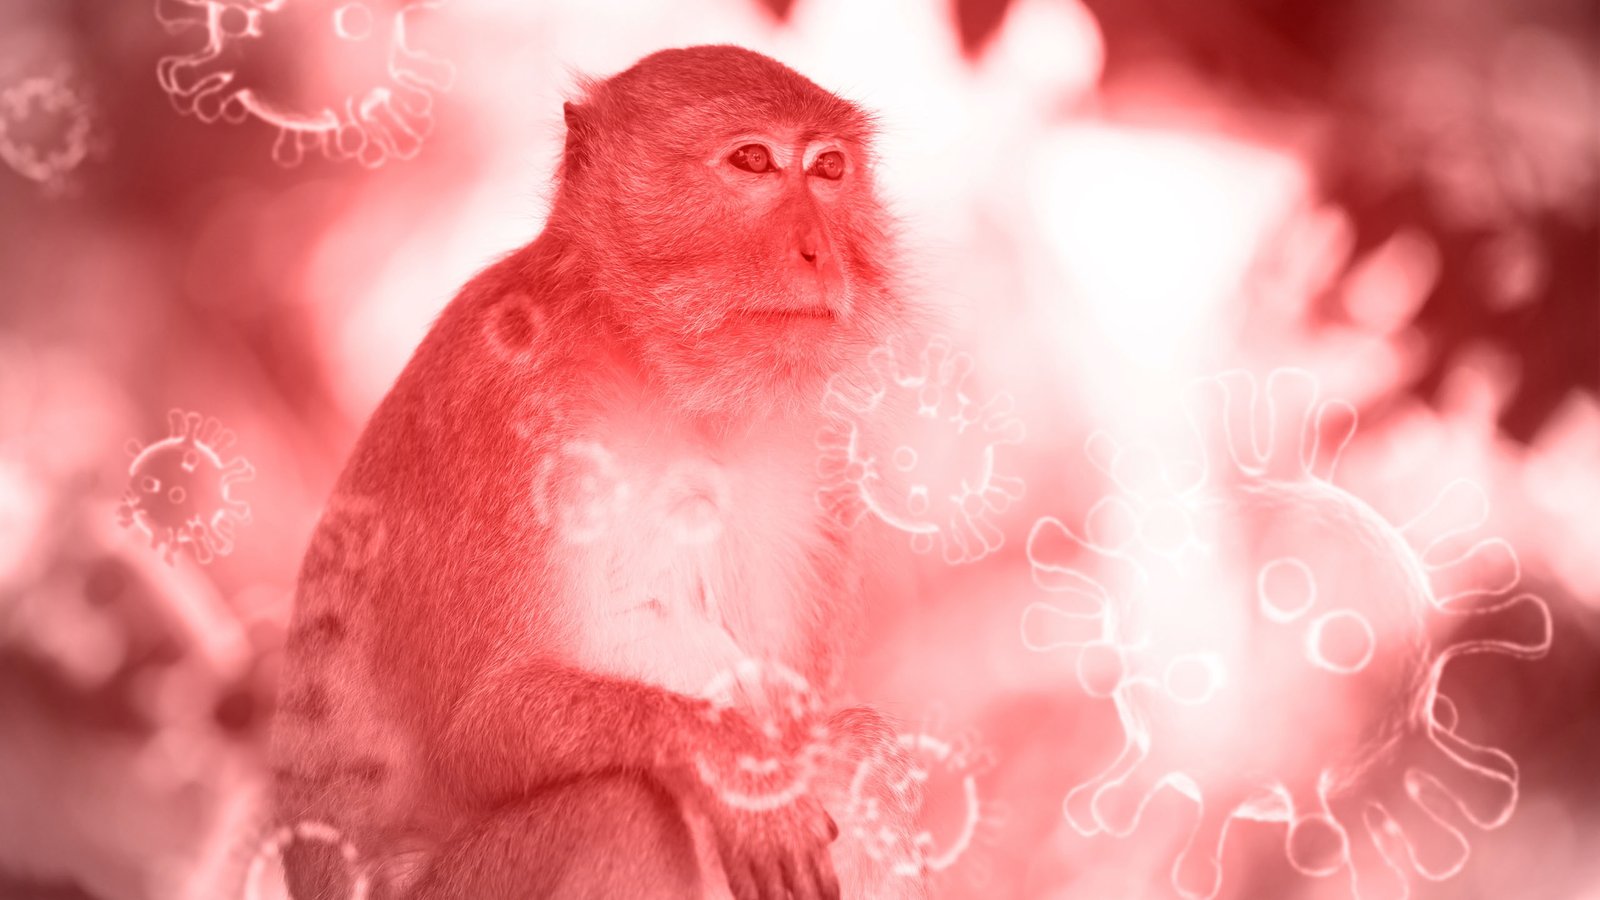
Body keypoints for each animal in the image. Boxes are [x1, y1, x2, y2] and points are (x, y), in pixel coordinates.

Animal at [267, 45, 926, 900]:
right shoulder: (505, 397)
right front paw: (731, 769)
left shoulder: (815, 453)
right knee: (620, 810)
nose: (823, 250)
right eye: (754, 160)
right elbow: (484, 724)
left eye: (829, 168)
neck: (663, 376)